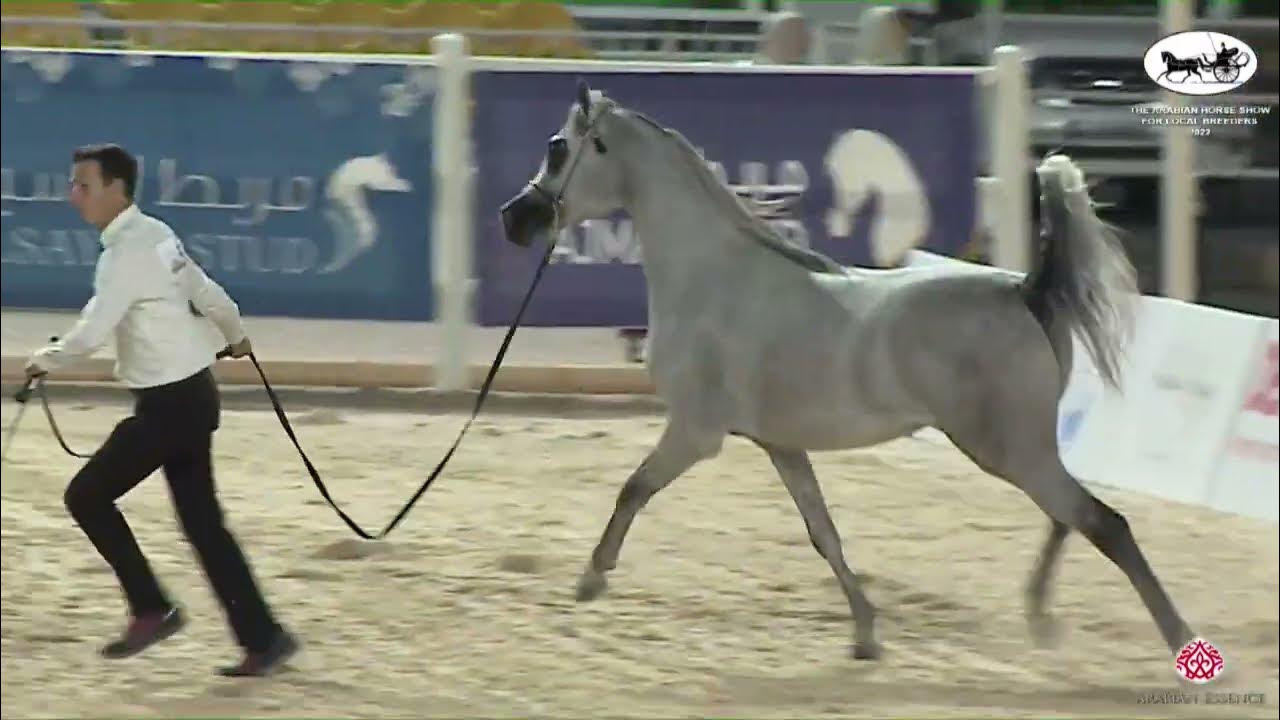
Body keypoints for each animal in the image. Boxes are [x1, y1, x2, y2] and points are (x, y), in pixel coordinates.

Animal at [499, 80, 1196, 661]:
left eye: (558, 149)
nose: (515, 219)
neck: (712, 277)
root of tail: (1025, 289)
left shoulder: (696, 433)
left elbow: (633, 489)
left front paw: (591, 578)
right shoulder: (781, 444)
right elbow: (823, 534)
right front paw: (865, 634)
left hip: (1008, 449)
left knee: (1105, 523)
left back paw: (1178, 641)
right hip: (1022, 451)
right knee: (1069, 518)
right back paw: (1041, 619)